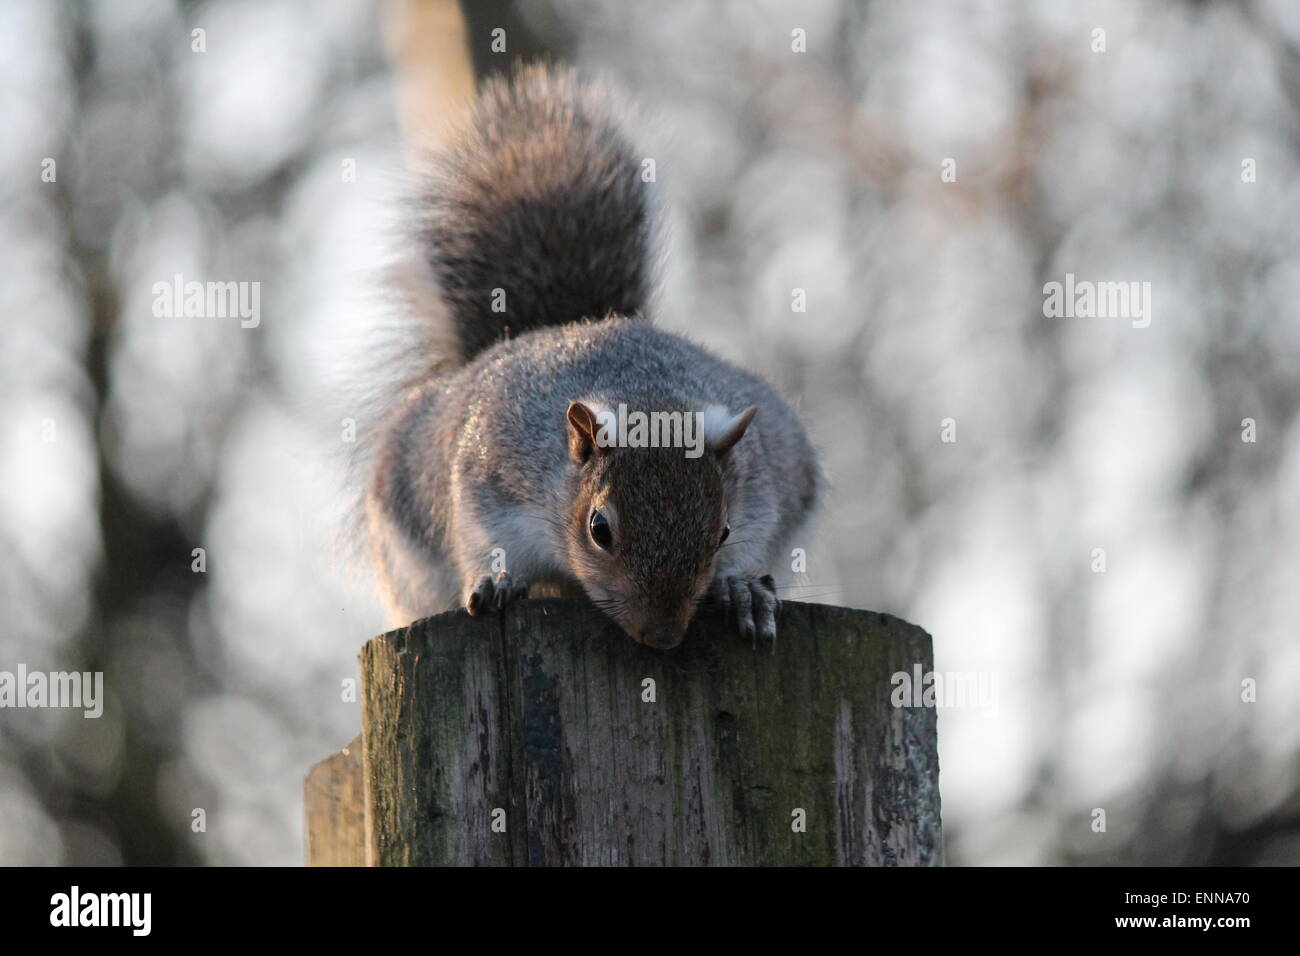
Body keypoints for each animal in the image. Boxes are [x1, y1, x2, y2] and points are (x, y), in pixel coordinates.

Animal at [366, 64, 823, 650]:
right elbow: (483, 538)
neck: (642, 393)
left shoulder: (759, 491)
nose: (662, 636)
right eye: (598, 529)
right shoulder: (488, 476)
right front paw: (496, 580)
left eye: (722, 531)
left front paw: (740, 587)